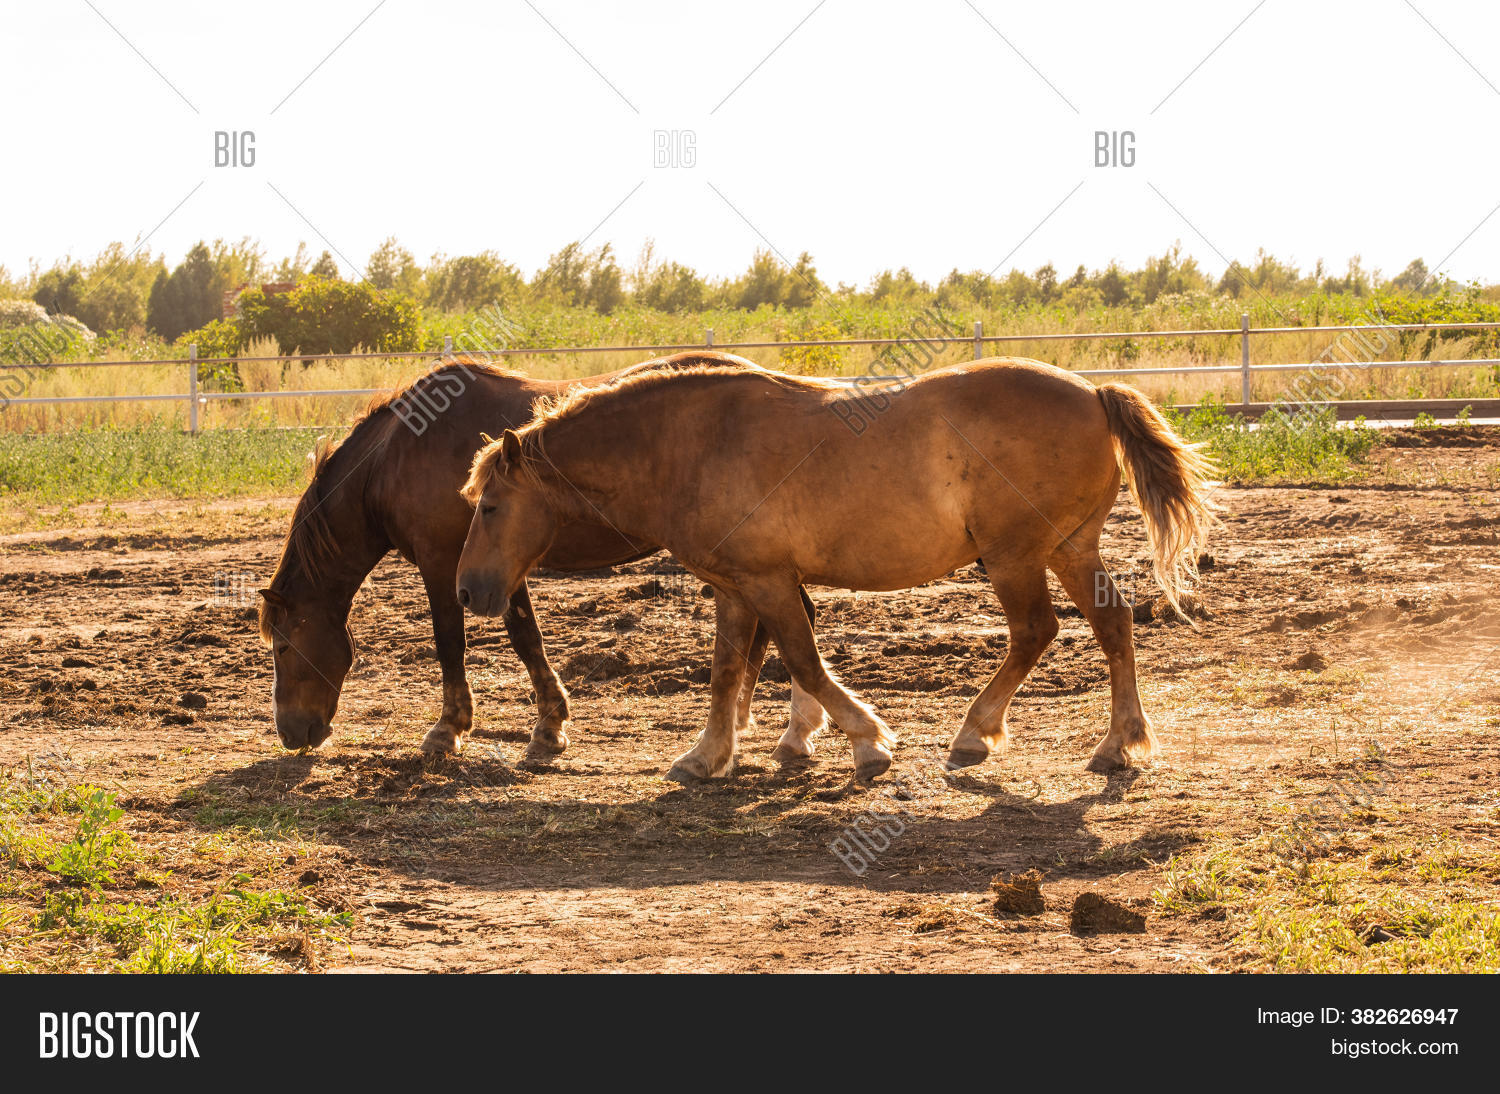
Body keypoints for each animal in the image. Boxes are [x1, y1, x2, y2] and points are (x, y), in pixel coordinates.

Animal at [256, 352, 828, 760]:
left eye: (282, 647)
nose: (291, 732)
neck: (398, 456)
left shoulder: (445, 563)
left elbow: (453, 644)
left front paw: (449, 730)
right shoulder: (495, 568)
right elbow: (525, 636)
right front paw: (550, 725)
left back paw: (793, 733)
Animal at [456, 357, 1216, 783]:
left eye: (490, 506)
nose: (468, 590)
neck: (688, 445)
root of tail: (1094, 395)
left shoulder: (767, 581)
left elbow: (802, 661)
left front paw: (868, 741)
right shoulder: (735, 587)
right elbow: (727, 671)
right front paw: (707, 757)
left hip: (1017, 556)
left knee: (1035, 632)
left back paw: (977, 732)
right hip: (1068, 547)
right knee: (1113, 624)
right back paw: (1118, 744)